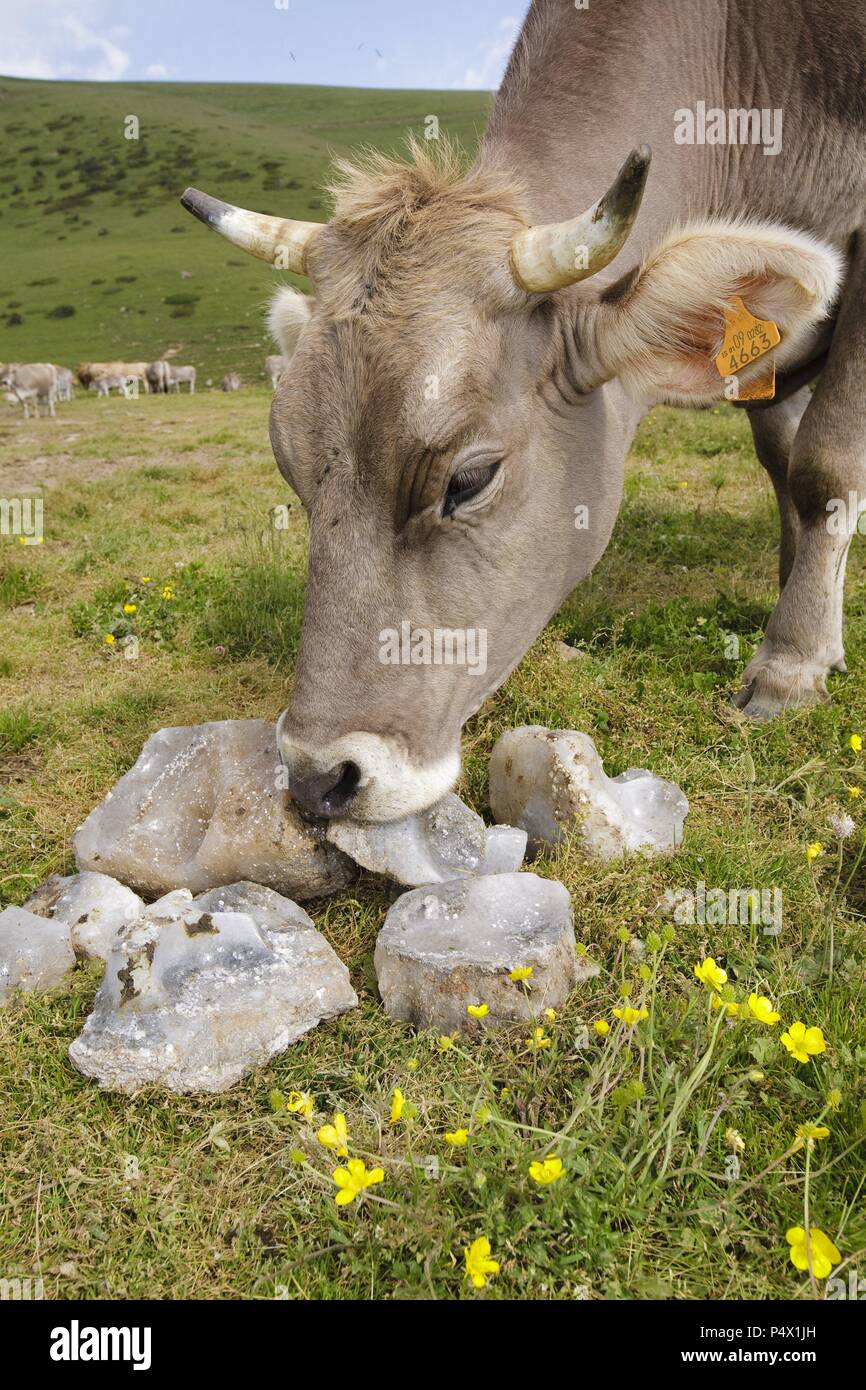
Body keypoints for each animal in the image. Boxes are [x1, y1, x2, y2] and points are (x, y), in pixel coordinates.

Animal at [181, 0, 864, 823]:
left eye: (470, 480)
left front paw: (792, 660)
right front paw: (803, 598)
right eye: (292, 470)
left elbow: (823, 463)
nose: (318, 776)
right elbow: (780, 459)